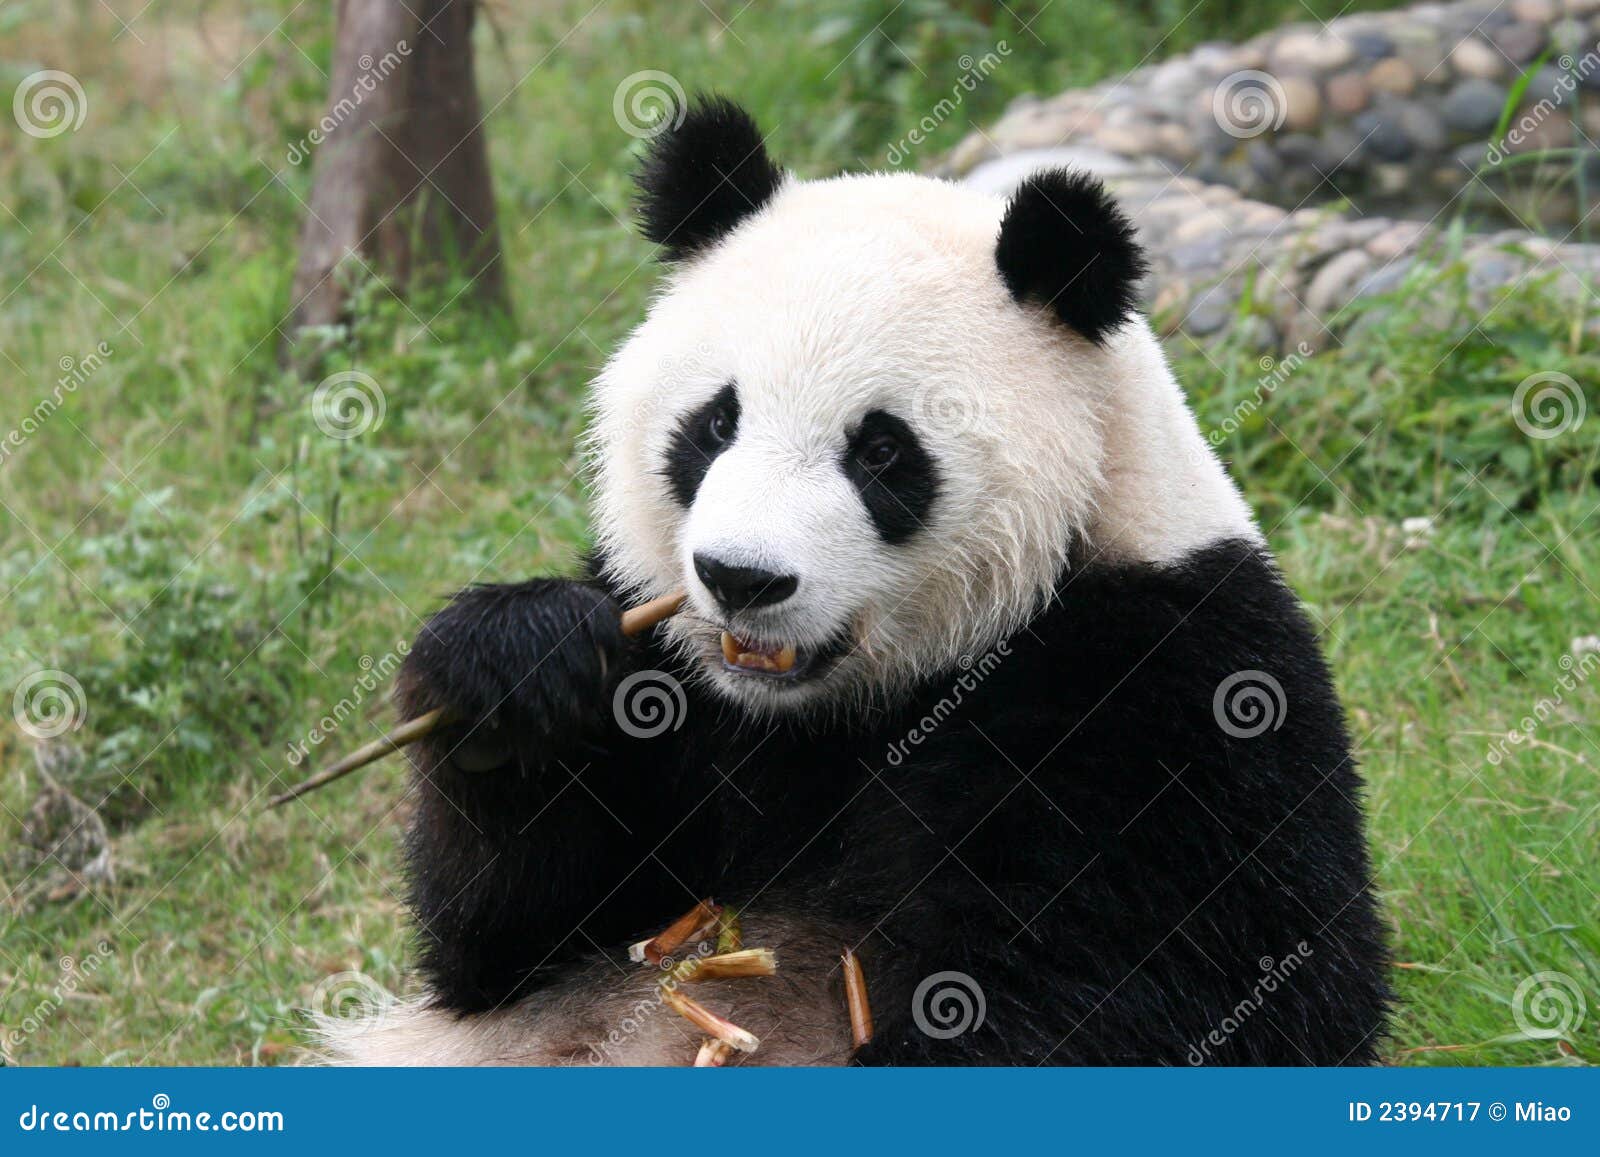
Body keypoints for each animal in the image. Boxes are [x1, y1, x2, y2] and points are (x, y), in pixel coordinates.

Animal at [322, 96, 1390, 1066]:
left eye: (881, 452)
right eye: (715, 424)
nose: (740, 578)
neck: (836, 711)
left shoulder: (1172, 683)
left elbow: (1195, 977)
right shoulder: (672, 682)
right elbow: (506, 944)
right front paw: (515, 669)